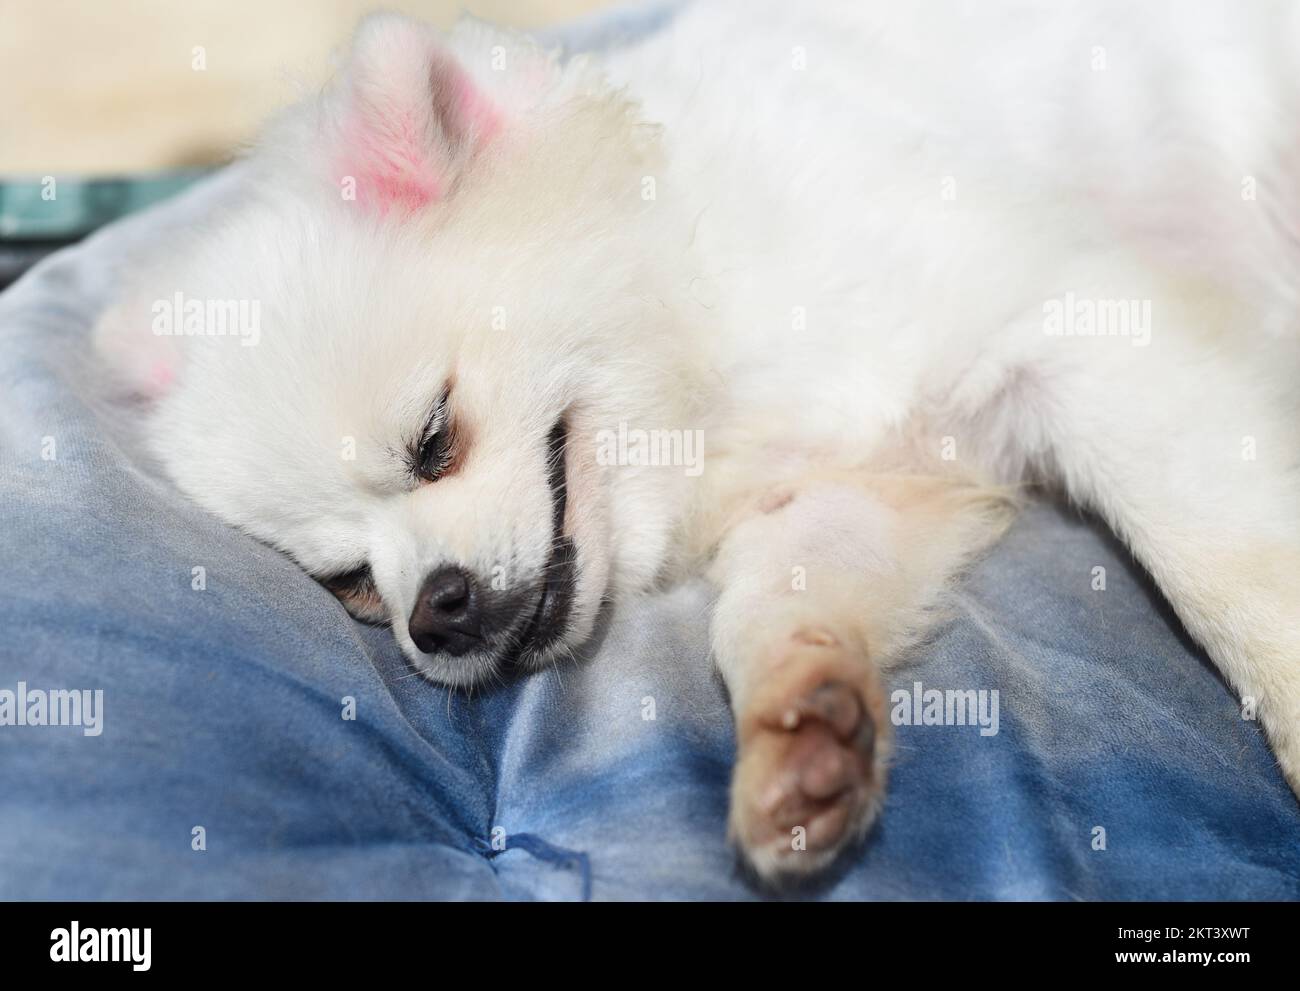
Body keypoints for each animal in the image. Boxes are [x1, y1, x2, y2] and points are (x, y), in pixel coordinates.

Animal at [98, 0, 1300, 879]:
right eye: (351, 582)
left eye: (434, 438)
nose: (432, 615)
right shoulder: (853, 493)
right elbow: (769, 610)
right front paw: (804, 735)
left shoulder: (1067, 332)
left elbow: (1225, 570)